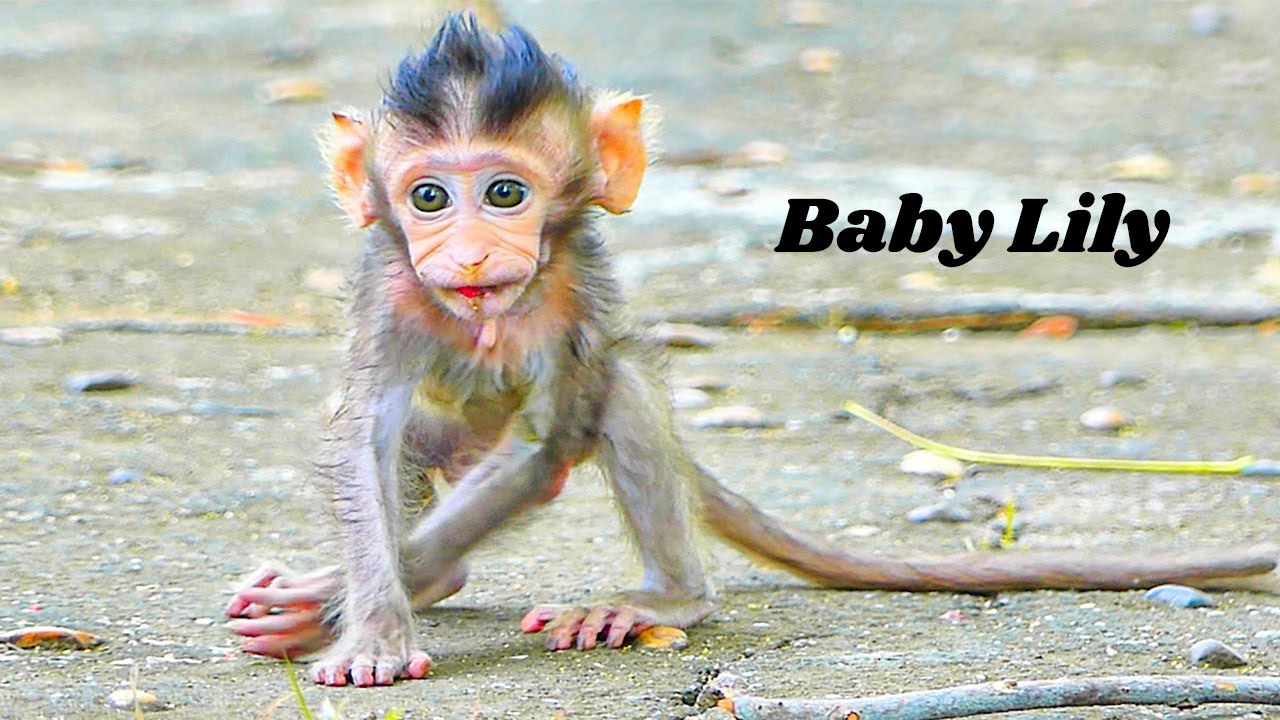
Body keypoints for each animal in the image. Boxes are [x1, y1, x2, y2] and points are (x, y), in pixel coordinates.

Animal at [225, 14, 1278, 688]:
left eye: (506, 194)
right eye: (430, 198)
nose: (472, 253)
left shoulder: (573, 291)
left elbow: (550, 440)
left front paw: (330, 607)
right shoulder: (391, 294)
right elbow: (362, 436)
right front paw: (366, 618)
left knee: (618, 398)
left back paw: (664, 599)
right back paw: (428, 580)